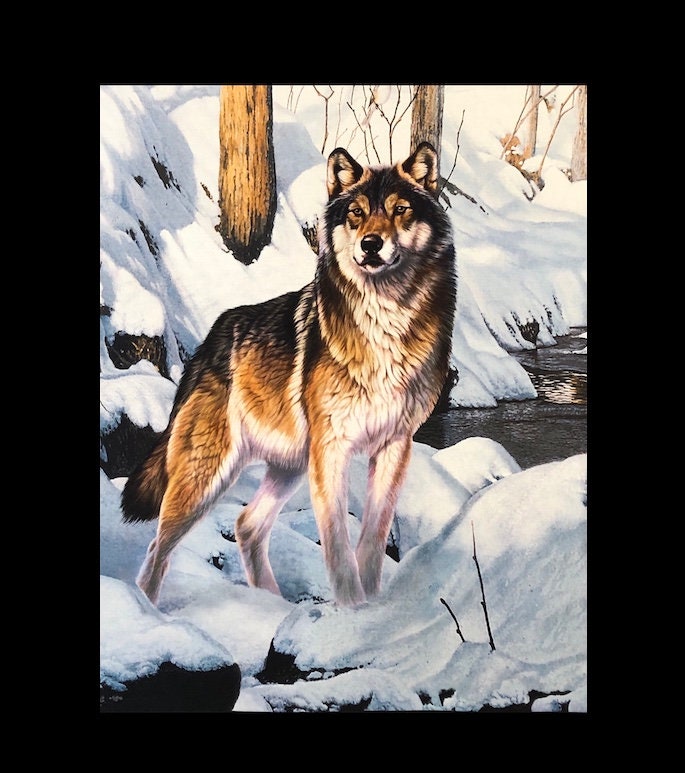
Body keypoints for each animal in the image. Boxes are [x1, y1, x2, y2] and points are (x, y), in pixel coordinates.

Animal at [121, 142, 457, 607]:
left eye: (400, 209)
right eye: (356, 213)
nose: (371, 244)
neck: (384, 325)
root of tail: (210, 340)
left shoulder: (394, 445)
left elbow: (371, 542)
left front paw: (372, 609)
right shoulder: (331, 451)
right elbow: (337, 547)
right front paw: (351, 611)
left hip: (288, 468)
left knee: (245, 524)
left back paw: (269, 604)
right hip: (207, 477)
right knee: (157, 549)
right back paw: (150, 610)